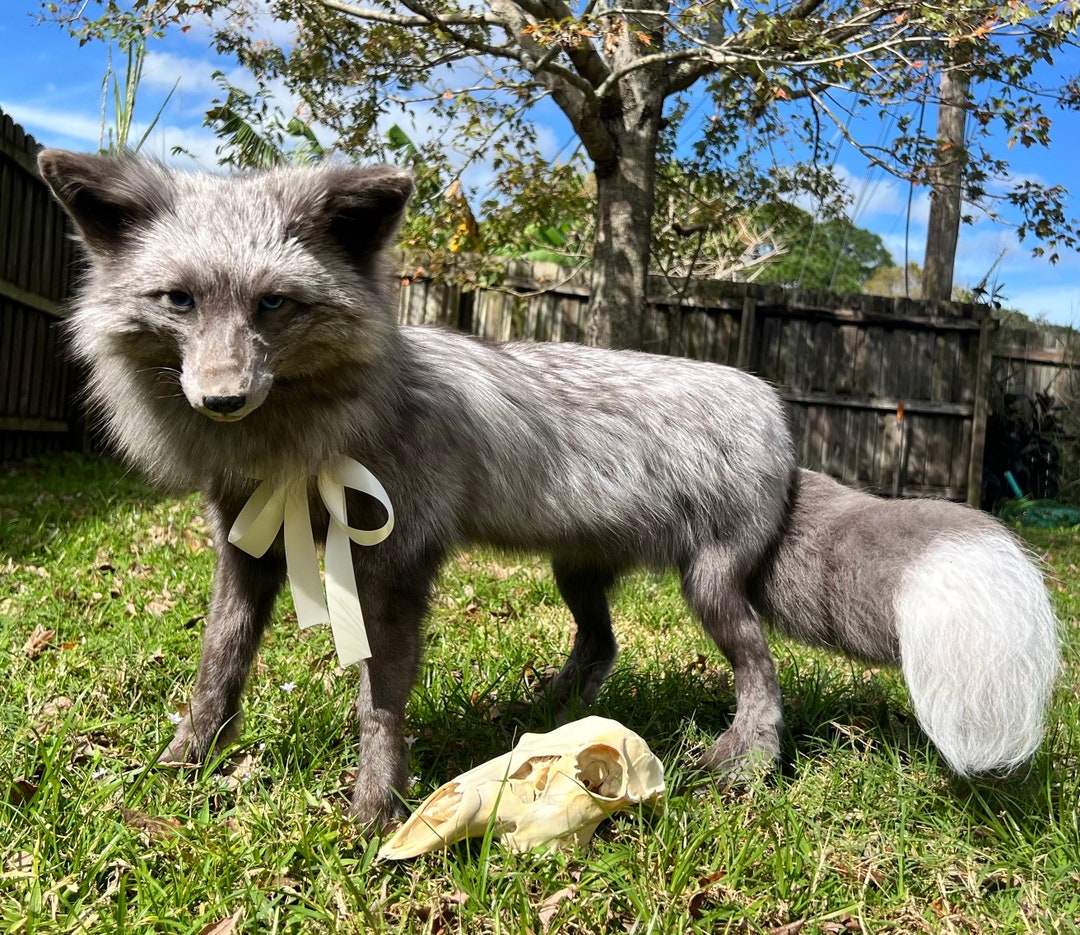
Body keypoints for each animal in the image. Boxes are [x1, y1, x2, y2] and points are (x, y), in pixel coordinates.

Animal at [38, 150, 1059, 825]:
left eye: (274, 305)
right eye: (178, 301)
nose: (220, 397)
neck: (300, 442)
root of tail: (777, 413)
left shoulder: (395, 566)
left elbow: (379, 702)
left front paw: (374, 813)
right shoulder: (244, 546)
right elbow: (216, 673)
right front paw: (181, 771)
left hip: (712, 587)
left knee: (763, 674)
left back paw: (744, 765)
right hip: (578, 573)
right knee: (602, 645)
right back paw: (544, 714)